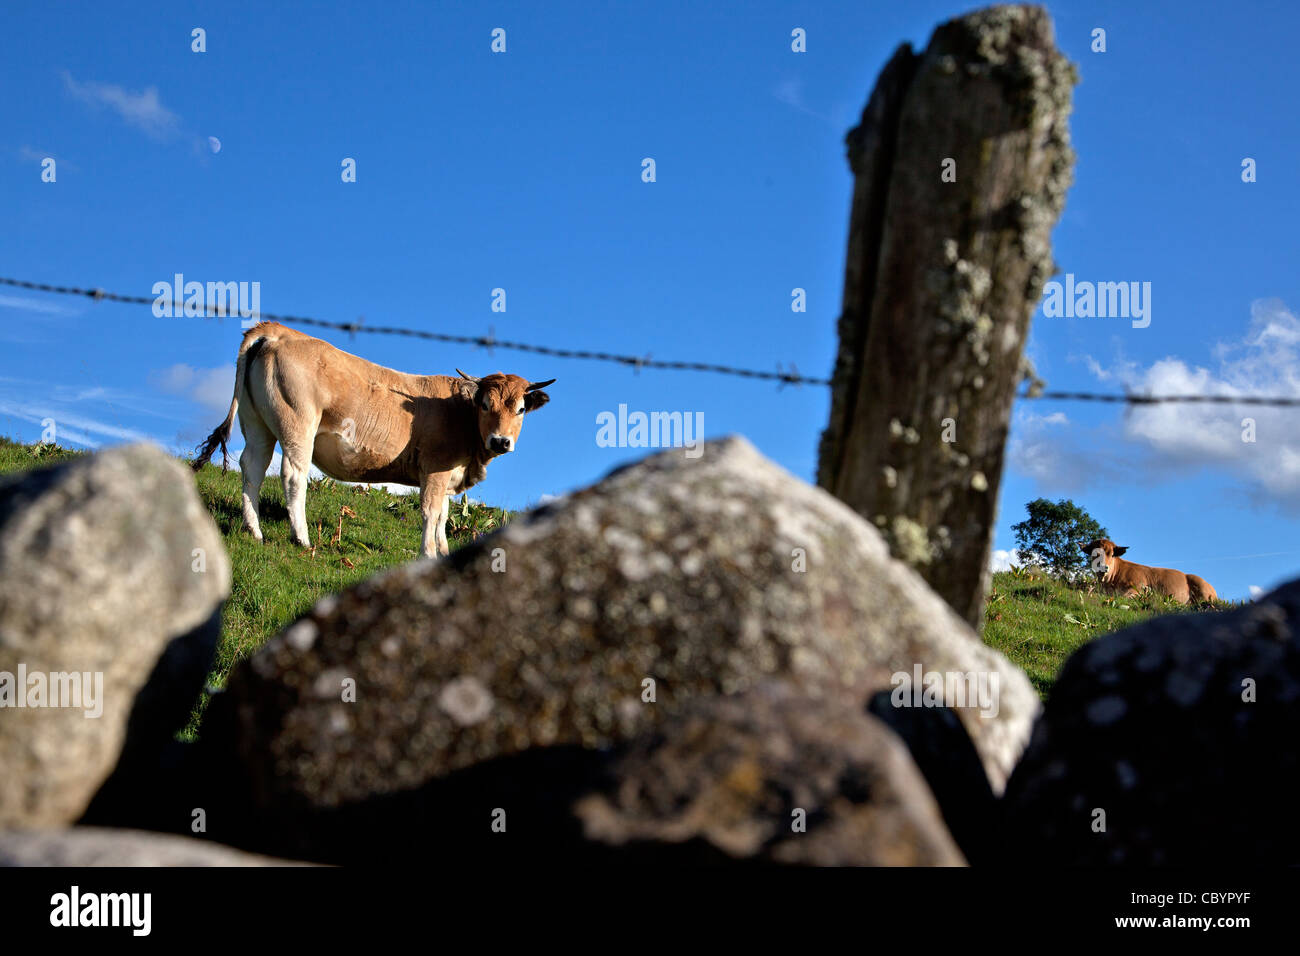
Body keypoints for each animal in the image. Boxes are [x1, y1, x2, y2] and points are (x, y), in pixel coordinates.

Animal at [192, 321, 554, 558]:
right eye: (485, 405)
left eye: (521, 409)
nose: (500, 441)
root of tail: (278, 329)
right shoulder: (434, 468)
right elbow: (430, 512)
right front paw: (428, 554)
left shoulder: (448, 473)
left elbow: (443, 516)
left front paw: (443, 551)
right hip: (297, 423)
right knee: (293, 474)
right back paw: (302, 538)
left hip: (257, 424)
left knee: (252, 468)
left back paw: (254, 531)